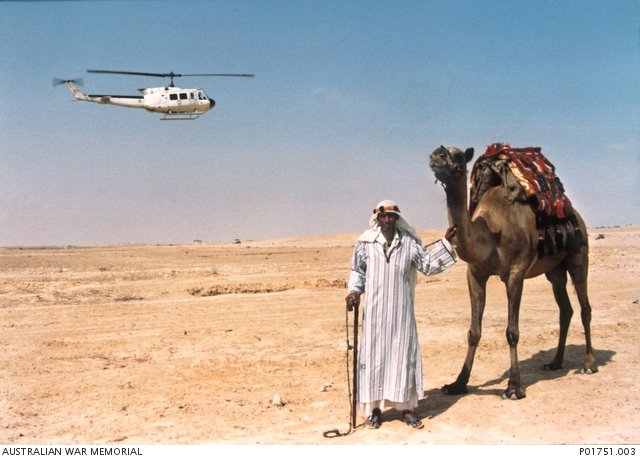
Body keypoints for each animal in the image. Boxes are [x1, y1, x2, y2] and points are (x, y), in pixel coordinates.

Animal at [429, 145, 597, 400]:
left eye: (457, 155)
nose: (436, 155)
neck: (490, 233)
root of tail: (575, 214)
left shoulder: (515, 274)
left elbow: (512, 332)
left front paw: (514, 387)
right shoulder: (475, 274)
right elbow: (473, 332)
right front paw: (457, 383)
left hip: (579, 254)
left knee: (584, 306)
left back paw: (589, 364)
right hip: (554, 270)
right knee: (565, 309)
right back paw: (555, 363)